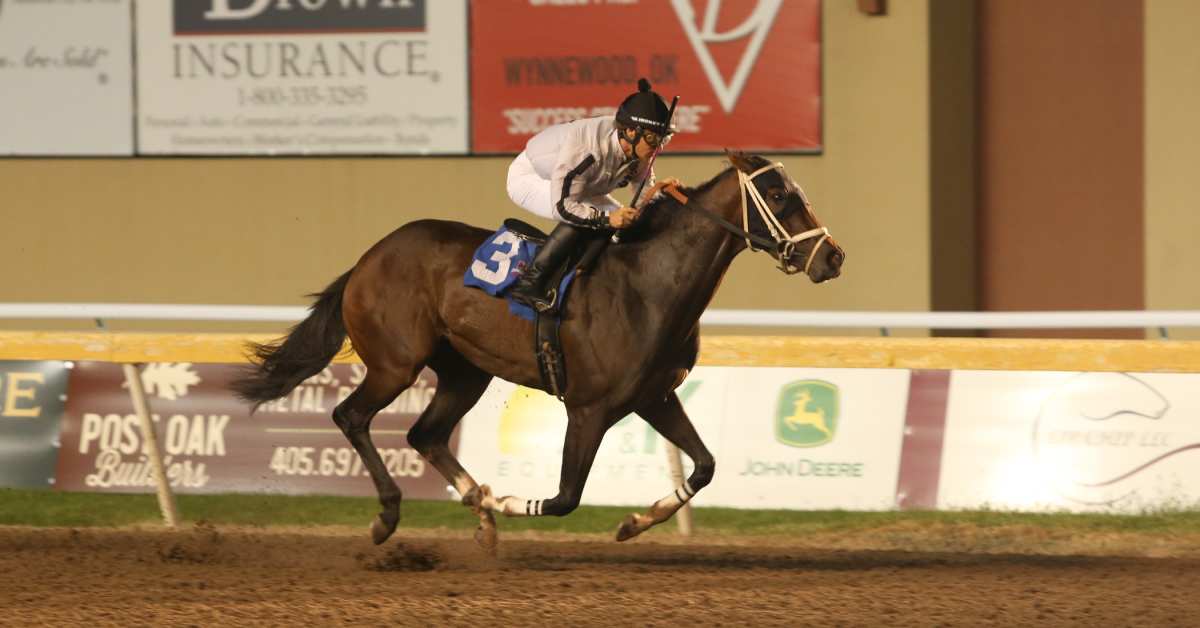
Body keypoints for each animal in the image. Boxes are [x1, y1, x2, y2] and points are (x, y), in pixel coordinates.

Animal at [232, 151, 845, 552]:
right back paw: (391, 515)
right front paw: (505, 501)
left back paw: (479, 515)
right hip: (394, 363)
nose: (833, 257)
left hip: (464, 372)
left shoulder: (654, 397)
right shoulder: (589, 408)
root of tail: (366, 259)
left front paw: (635, 521)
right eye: (780, 195)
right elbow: (566, 496)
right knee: (351, 416)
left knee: (424, 434)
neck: (648, 283)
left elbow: (706, 466)